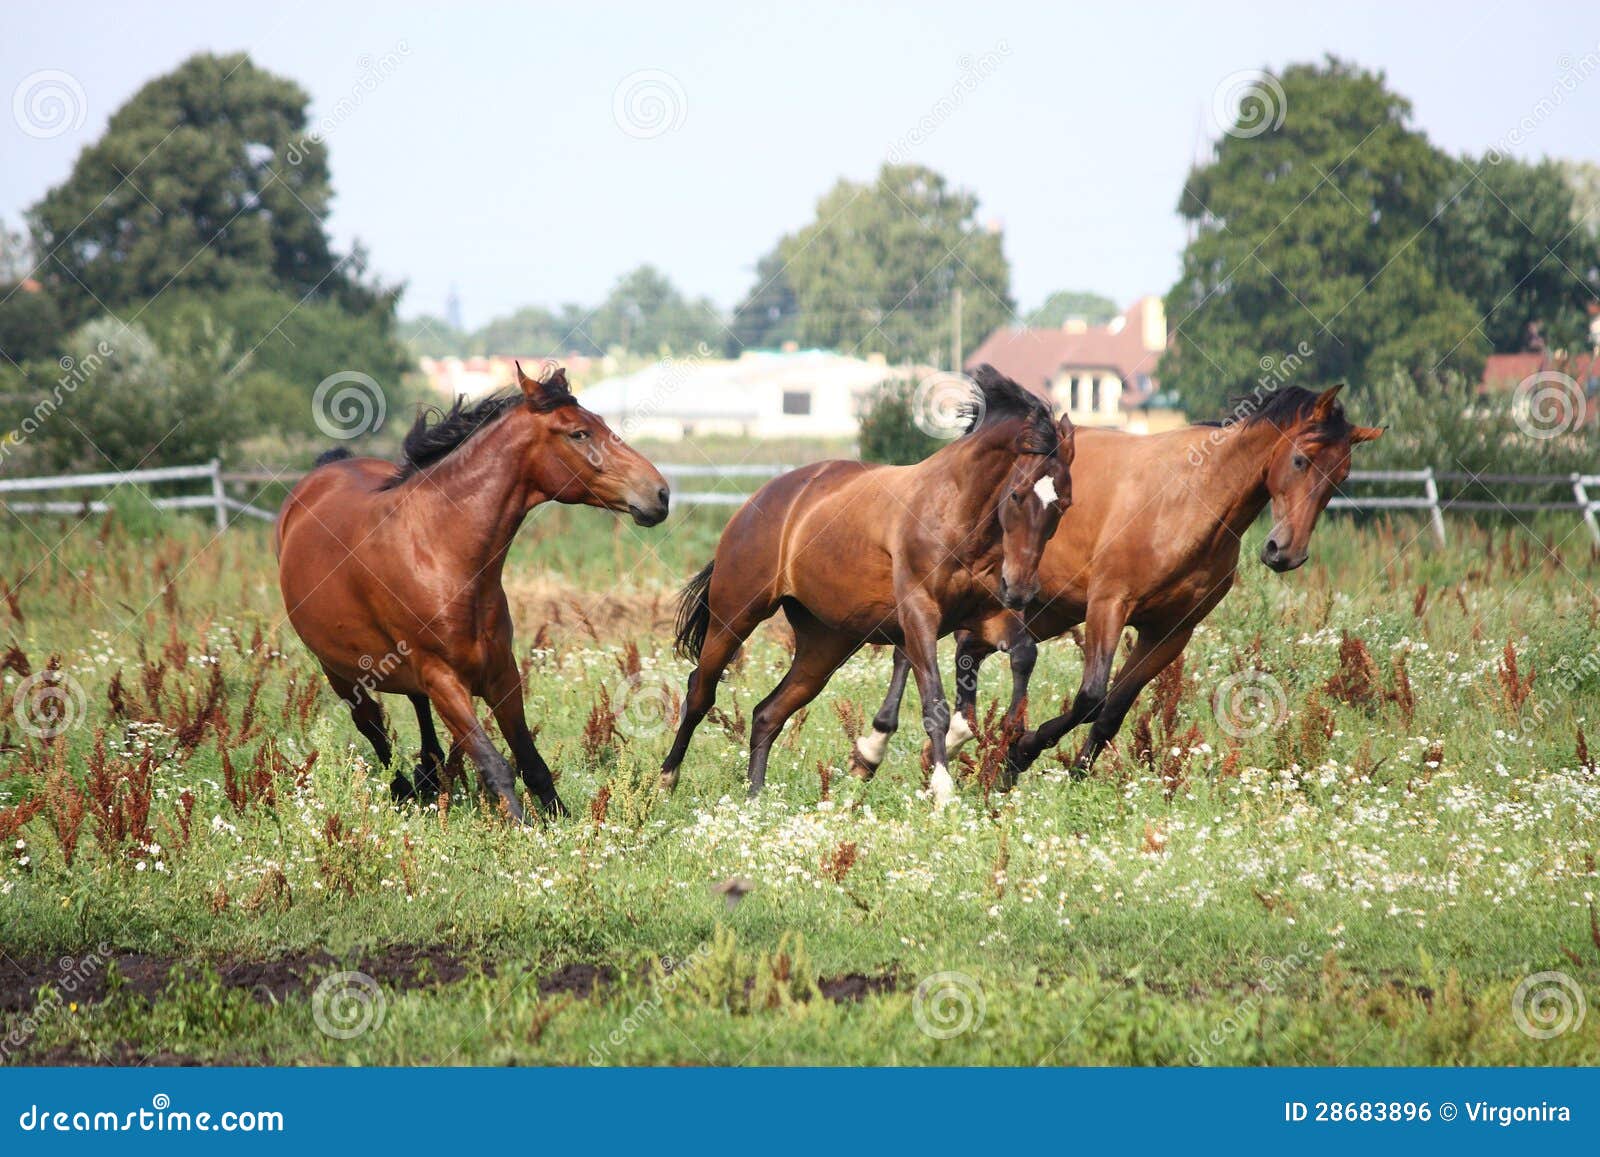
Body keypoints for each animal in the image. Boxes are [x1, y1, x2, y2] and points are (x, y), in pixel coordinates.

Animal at [275, 364, 670, 824]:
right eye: (579, 433)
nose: (659, 493)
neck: (439, 551)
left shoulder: (502, 673)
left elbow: (530, 760)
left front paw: (561, 820)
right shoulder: (444, 679)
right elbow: (494, 763)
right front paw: (521, 827)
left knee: (417, 711)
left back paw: (429, 779)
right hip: (339, 671)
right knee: (372, 725)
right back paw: (404, 790)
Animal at [660, 365, 1075, 804]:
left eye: (1063, 504)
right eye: (1016, 496)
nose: (1021, 590)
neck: (954, 512)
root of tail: (759, 501)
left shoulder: (987, 615)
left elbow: (1024, 654)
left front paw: (1009, 738)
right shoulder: (920, 614)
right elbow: (935, 702)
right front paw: (942, 789)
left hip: (825, 644)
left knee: (767, 713)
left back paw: (755, 799)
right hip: (735, 615)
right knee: (700, 691)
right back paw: (667, 780)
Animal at [858, 384, 1382, 780]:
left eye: (1341, 477)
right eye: (1299, 461)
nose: (1284, 553)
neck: (1191, 499)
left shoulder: (1171, 632)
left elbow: (1113, 709)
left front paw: (1073, 775)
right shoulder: (1108, 605)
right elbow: (1091, 697)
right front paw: (1020, 753)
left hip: (1038, 609)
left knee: (965, 650)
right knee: (914, 650)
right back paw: (884, 748)